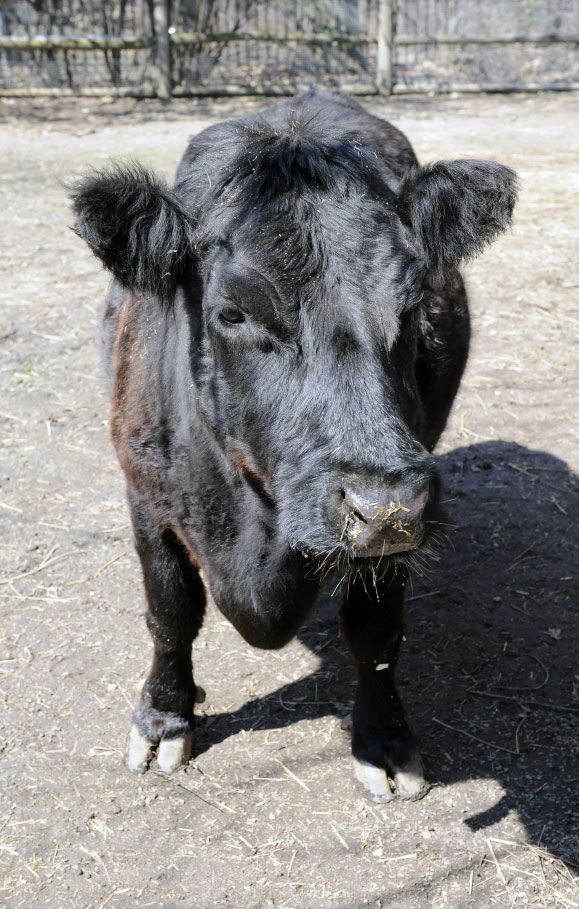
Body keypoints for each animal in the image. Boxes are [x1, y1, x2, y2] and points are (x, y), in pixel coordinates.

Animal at [70, 89, 517, 803]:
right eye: (231, 311)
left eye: (415, 303)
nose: (384, 502)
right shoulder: (145, 493)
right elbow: (170, 612)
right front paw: (164, 719)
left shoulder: (392, 534)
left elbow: (376, 632)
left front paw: (385, 741)